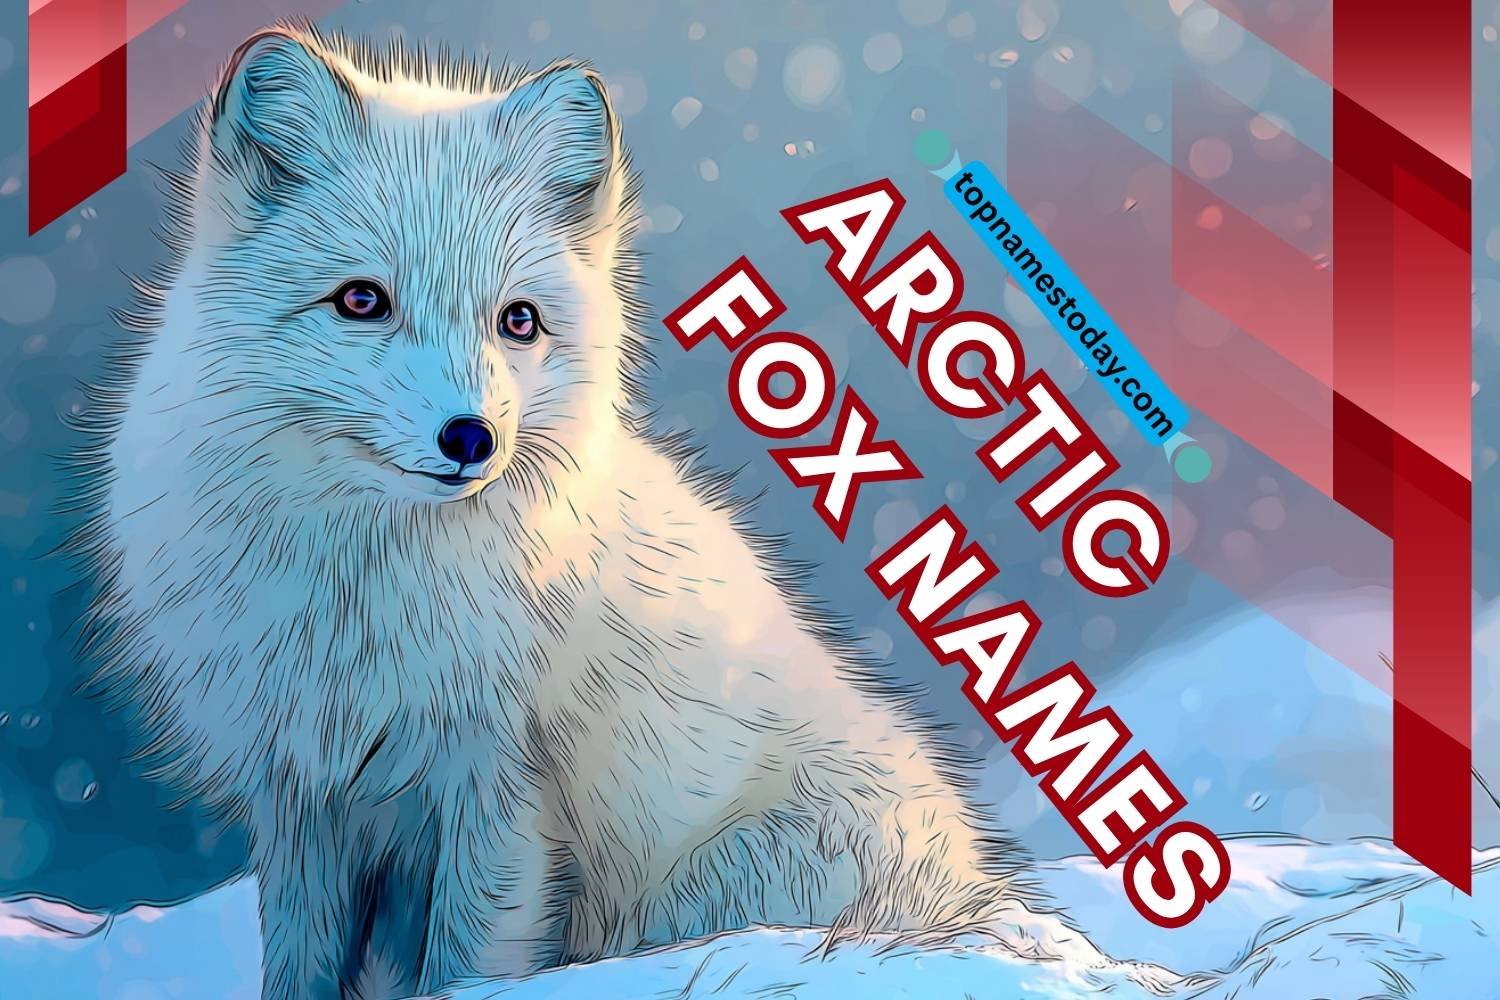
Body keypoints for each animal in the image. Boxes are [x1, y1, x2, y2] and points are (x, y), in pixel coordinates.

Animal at [68, 23, 1182, 1000]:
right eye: (360, 300)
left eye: (518, 321)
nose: (471, 438)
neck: (362, 590)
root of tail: (969, 884)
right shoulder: (303, 789)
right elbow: (298, 965)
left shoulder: (503, 787)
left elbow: (465, 962)